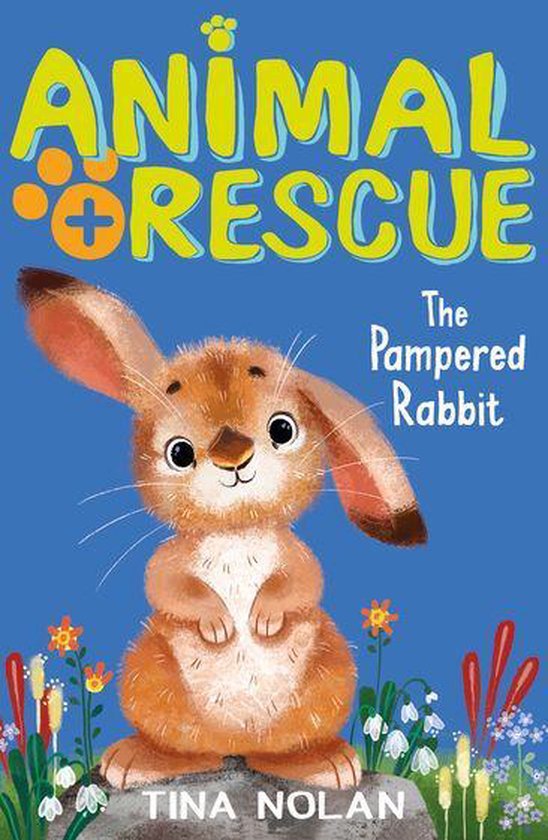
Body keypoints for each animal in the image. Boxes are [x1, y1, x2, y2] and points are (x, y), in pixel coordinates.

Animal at [19, 266, 427, 791]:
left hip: (328, 673)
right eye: (179, 453)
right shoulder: (171, 561)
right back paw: (137, 762)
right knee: (189, 748)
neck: (235, 531)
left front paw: (263, 618)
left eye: (282, 430)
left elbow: (301, 582)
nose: (234, 457)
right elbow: (169, 586)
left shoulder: (295, 554)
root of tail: (238, 743)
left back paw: (325, 764)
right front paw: (218, 625)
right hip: (150, 675)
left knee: (283, 747)